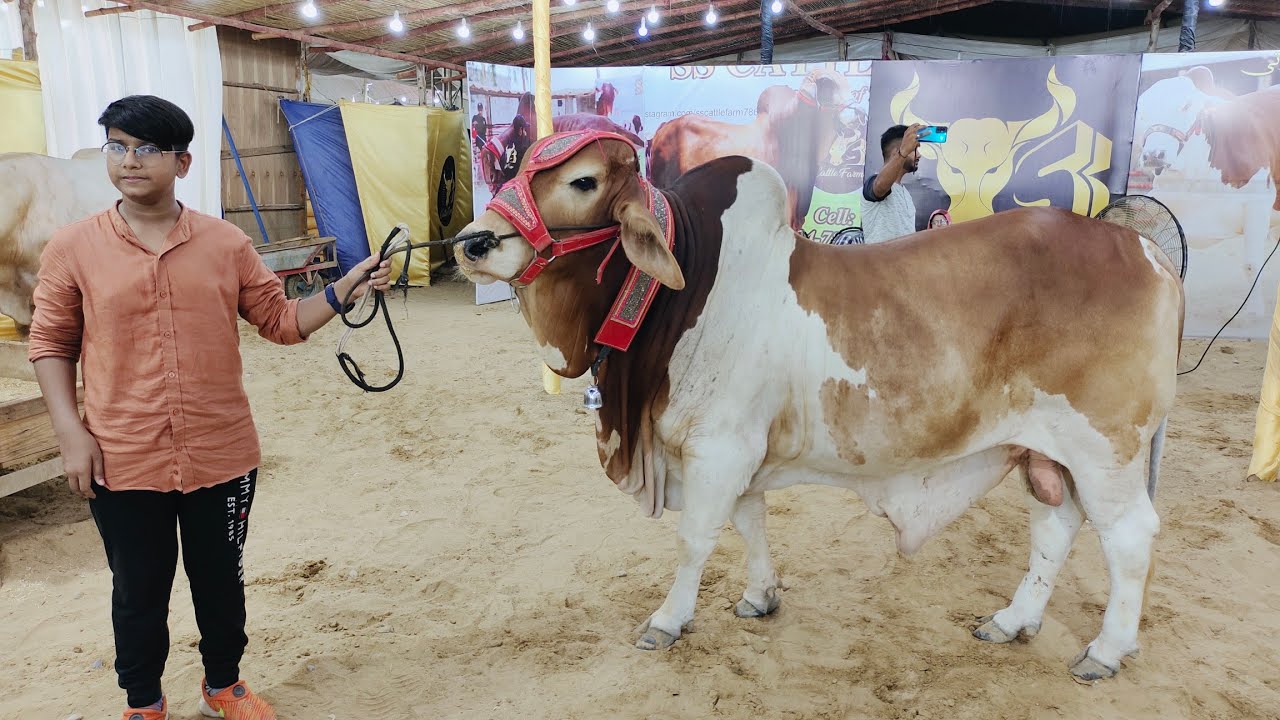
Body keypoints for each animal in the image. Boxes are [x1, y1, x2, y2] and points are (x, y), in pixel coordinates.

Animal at [451, 129, 1184, 681]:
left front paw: (667, 619)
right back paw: (1013, 620)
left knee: (1128, 538)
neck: (687, 291)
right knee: (1055, 528)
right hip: (1047, 453)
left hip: (1106, 450)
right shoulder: (739, 453)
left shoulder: (717, 449)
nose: (472, 242)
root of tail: (1144, 248)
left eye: (581, 182)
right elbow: (750, 524)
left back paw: (1105, 651)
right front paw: (759, 596)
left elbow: (696, 539)